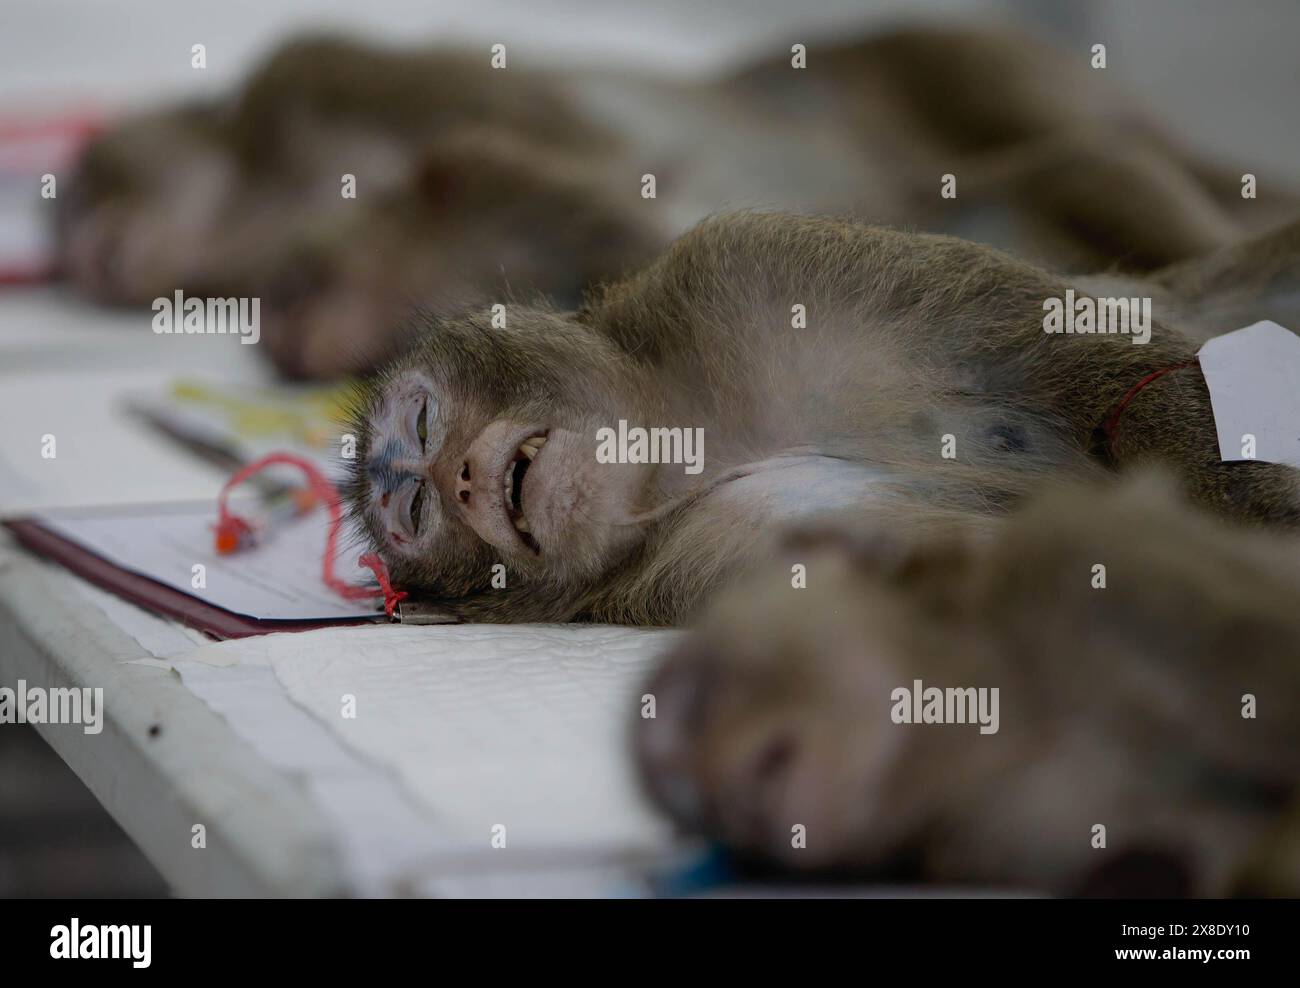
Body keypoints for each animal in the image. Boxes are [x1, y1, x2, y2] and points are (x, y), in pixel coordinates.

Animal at [57, 25, 1295, 378]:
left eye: (84, 186)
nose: (73, 243)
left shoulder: (352, 83)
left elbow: (601, 169)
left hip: (967, 65)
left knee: (1093, 147)